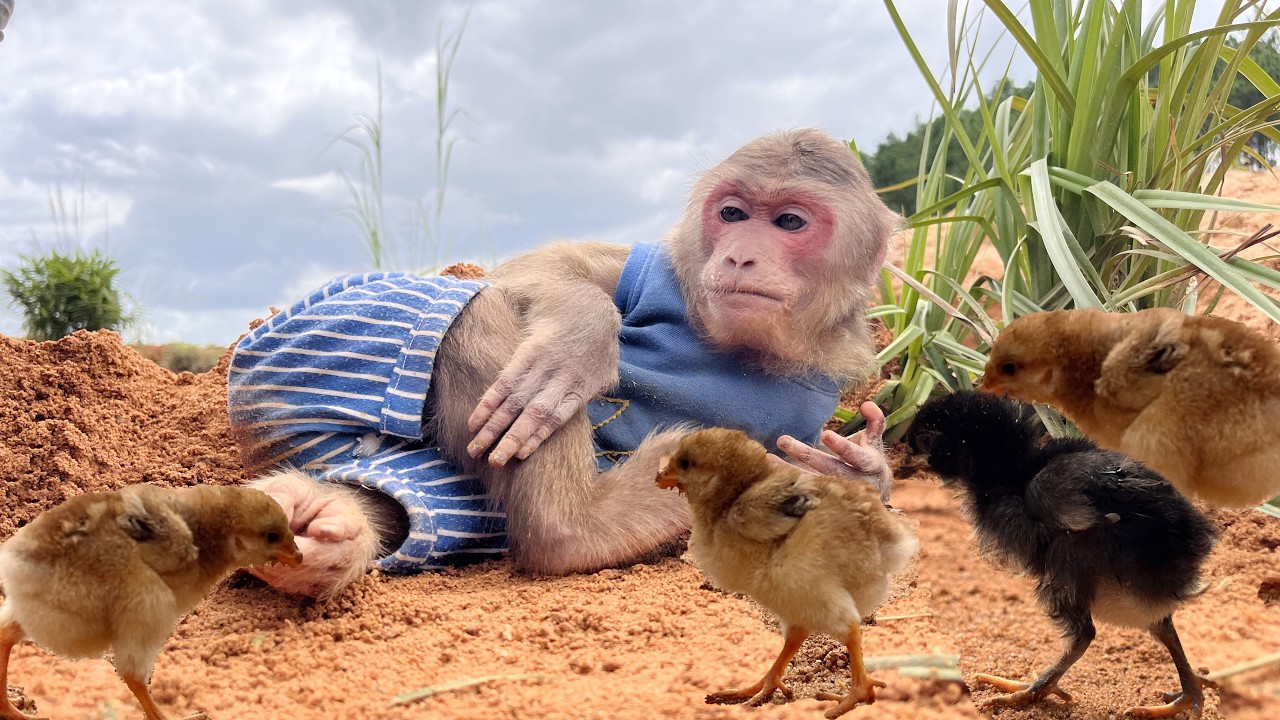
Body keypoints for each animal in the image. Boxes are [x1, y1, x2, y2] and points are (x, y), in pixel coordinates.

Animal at [226, 129, 901, 598]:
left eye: (789, 221)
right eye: (732, 214)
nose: (738, 256)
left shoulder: (818, 386)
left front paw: (854, 467)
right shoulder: (669, 269)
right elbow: (539, 272)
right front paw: (579, 341)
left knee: (436, 494)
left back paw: (323, 528)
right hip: (340, 323)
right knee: (473, 303)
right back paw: (576, 526)